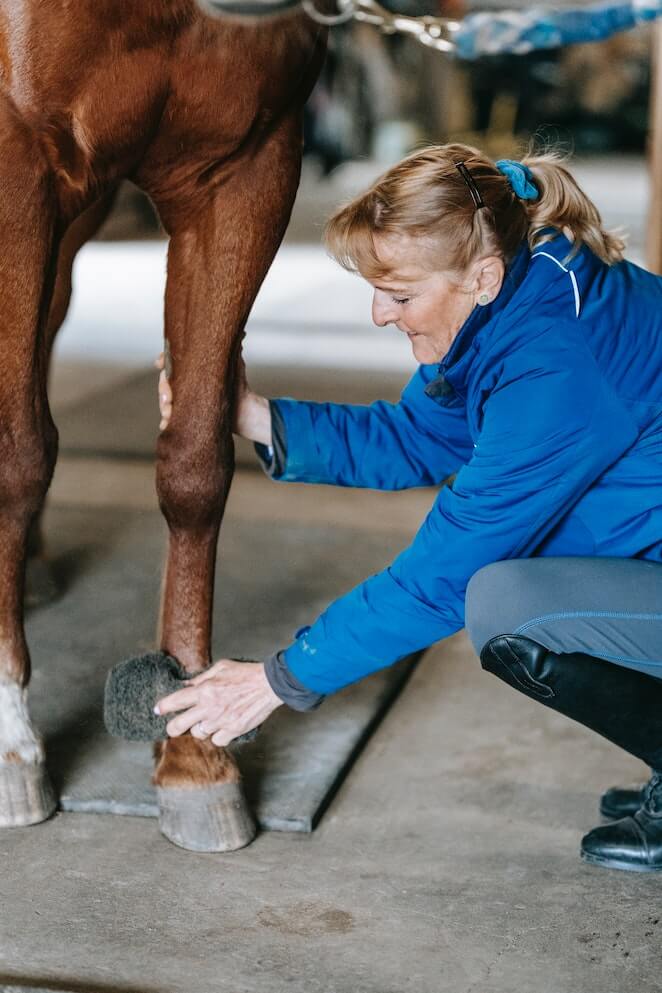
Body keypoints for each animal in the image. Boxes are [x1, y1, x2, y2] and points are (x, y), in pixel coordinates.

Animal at [0, 0, 326, 851]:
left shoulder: (244, 170)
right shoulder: (15, 164)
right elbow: (14, 457)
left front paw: (194, 756)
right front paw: (11, 746)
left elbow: (196, 460)